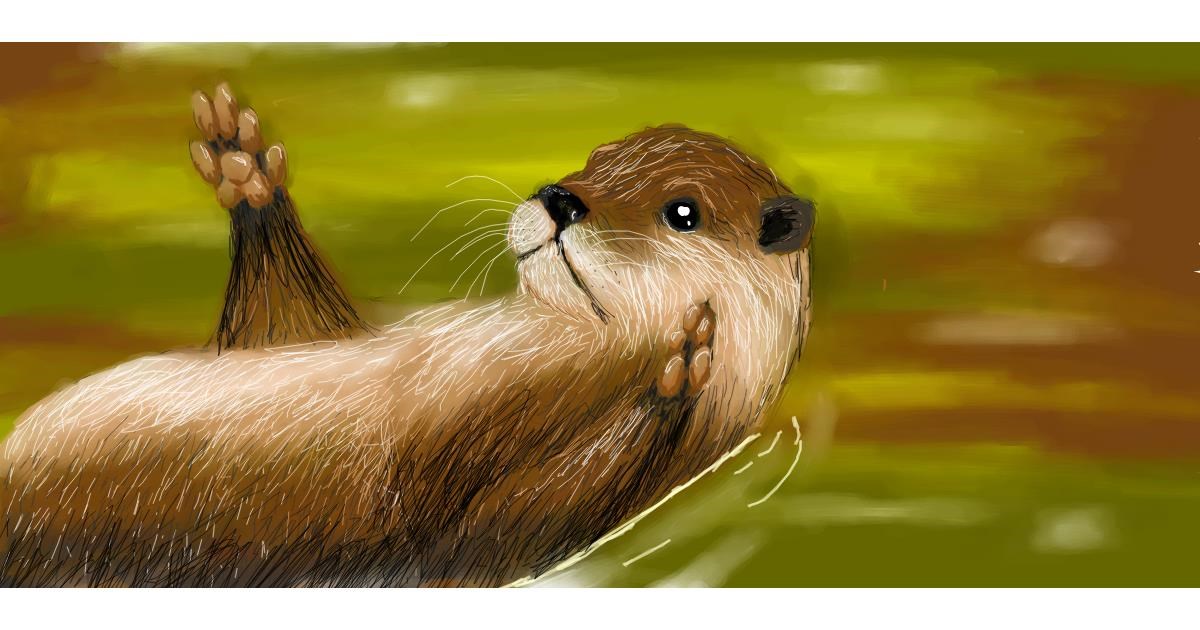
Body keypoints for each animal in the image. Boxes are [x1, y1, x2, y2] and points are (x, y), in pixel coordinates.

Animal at [0, 83, 814, 587]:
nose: (559, 197)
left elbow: (517, 515)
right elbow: (284, 323)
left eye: (682, 211)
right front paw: (244, 165)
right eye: (595, 161)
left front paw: (680, 375)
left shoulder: (434, 510)